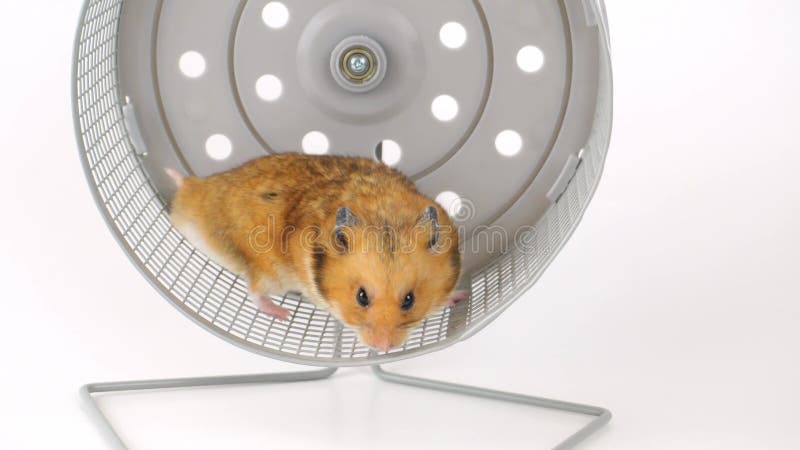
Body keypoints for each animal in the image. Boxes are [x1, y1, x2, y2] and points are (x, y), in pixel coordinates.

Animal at [167, 154, 468, 352]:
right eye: (361, 297)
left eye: (409, 300)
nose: (382, 349)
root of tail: (186, 202)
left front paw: (461, 296)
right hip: (268, 270)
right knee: (254, 291)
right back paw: (282, 314)